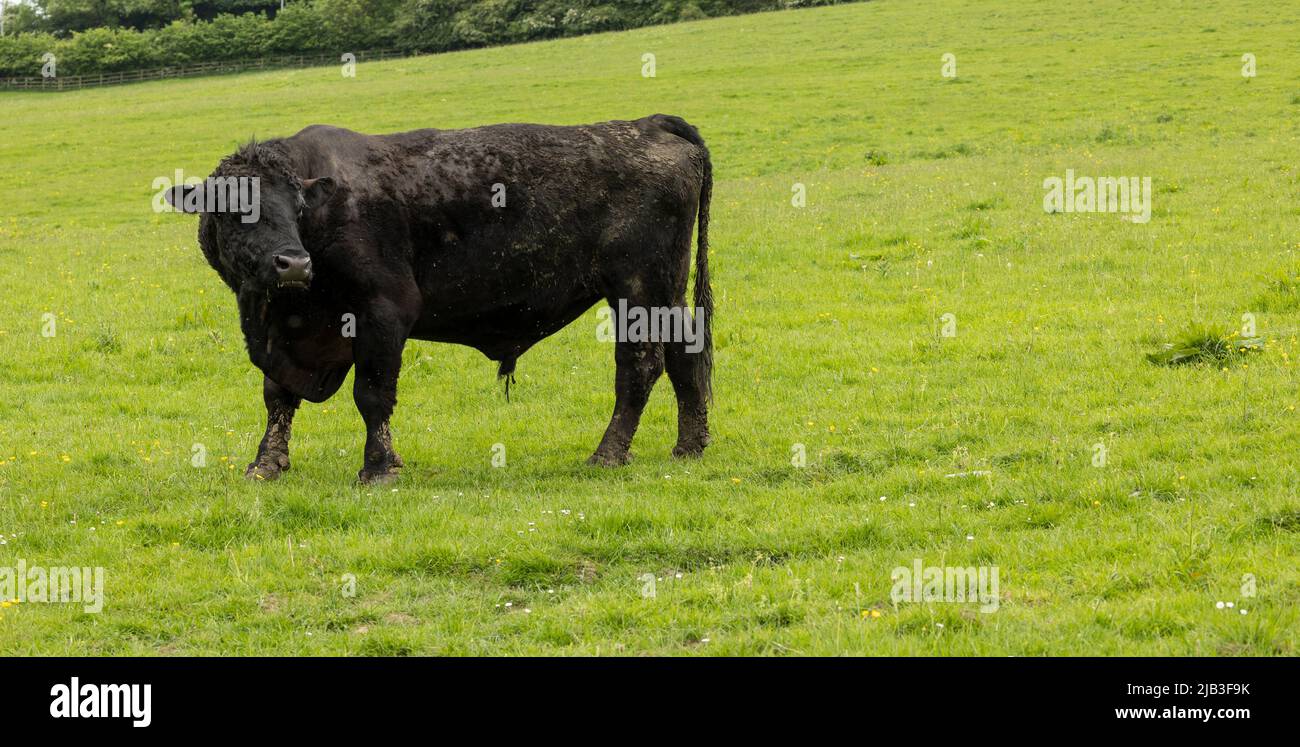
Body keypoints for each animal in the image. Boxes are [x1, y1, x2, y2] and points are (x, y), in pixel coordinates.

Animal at [165, 115, 713, 483]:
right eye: (231, 209)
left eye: (296, 205)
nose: (293, 264)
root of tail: (646, 125)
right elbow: (277, 396)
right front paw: (266, 463)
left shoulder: (383, 311)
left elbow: (372, 394)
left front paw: (379, 467)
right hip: (667, 294)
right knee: (686, 357)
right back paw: (689, 446)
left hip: (639, 291)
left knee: (639, 367)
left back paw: (608, 453)